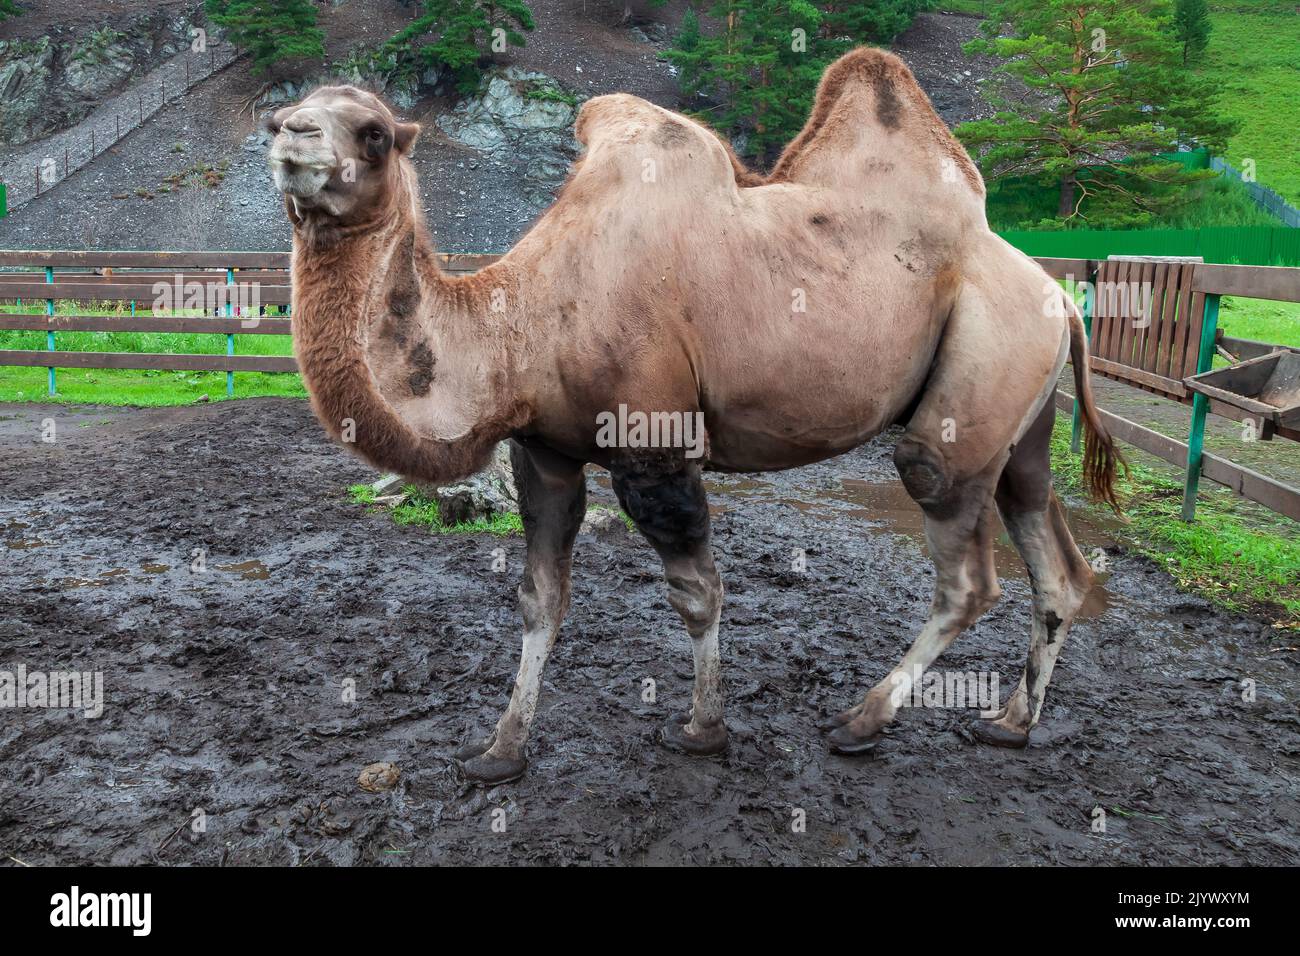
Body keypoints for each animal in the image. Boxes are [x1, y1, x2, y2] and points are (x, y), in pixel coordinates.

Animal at [266, 47, 1121, 785]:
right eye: (288, 110)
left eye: (374, 132)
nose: (287, 135)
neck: (523, 325)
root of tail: (1058, 297)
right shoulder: (544, 452)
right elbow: (540, 599)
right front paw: (502, 749)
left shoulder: (653, 443)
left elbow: (697, 591)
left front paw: (704, 729)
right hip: (1022, 425)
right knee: (1055, 558)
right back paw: (1010, 722)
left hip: (975, 389)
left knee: (964, 567)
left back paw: (861, 721)